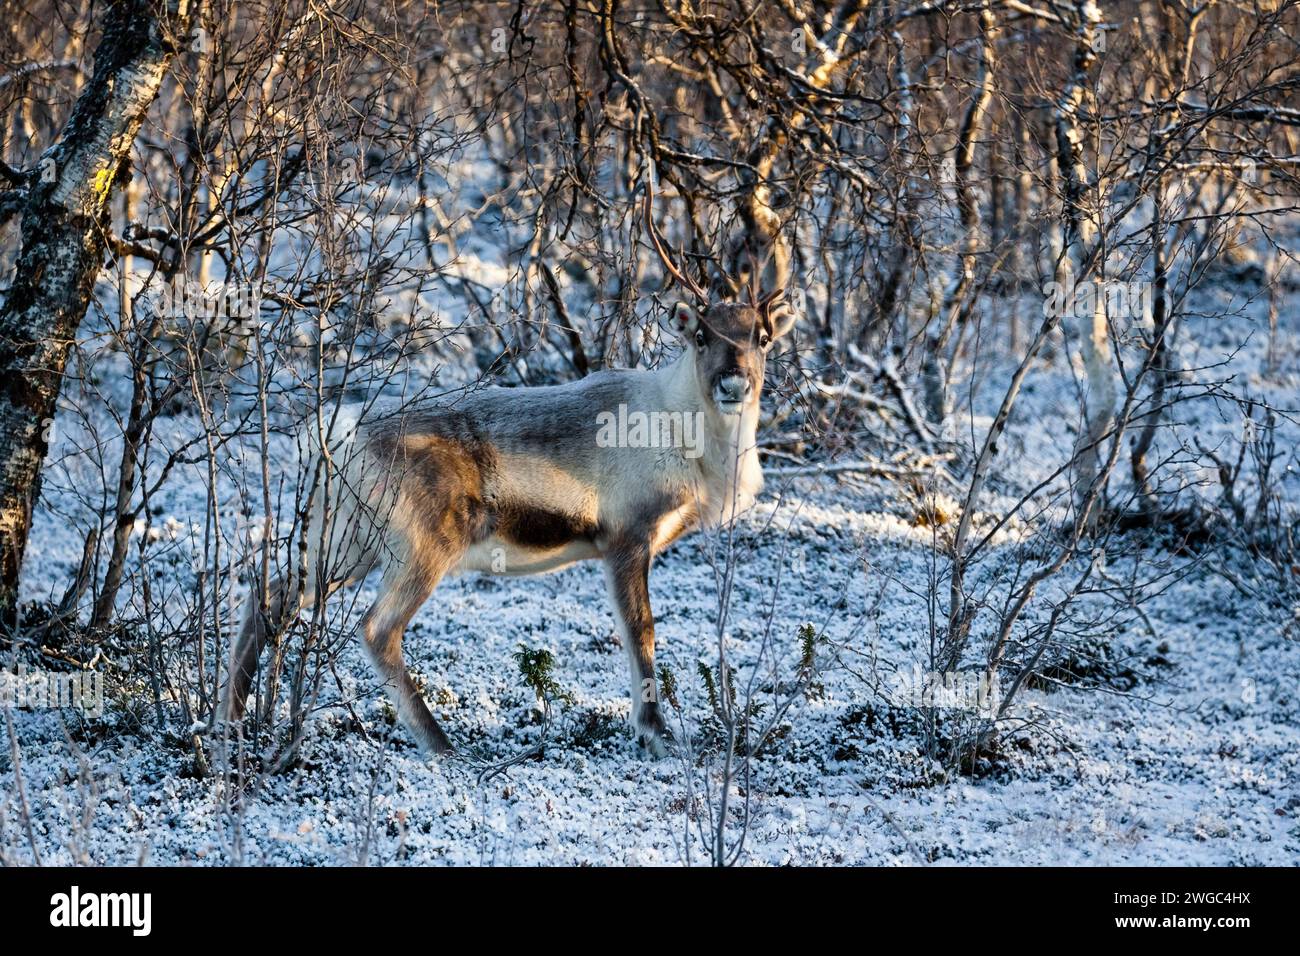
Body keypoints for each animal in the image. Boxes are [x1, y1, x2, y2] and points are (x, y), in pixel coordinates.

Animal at [217, 181, 795, 758]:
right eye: (700, 335)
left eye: (763, 337)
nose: (734, 383)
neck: (682, 428)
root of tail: (340, 437)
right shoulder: (627, 536)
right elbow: (642, 634)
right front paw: (657, 734)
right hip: (421, 546)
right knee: (376, 628)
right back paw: (442, 745)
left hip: (343, 539)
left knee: (269, 594)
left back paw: (230, 723)